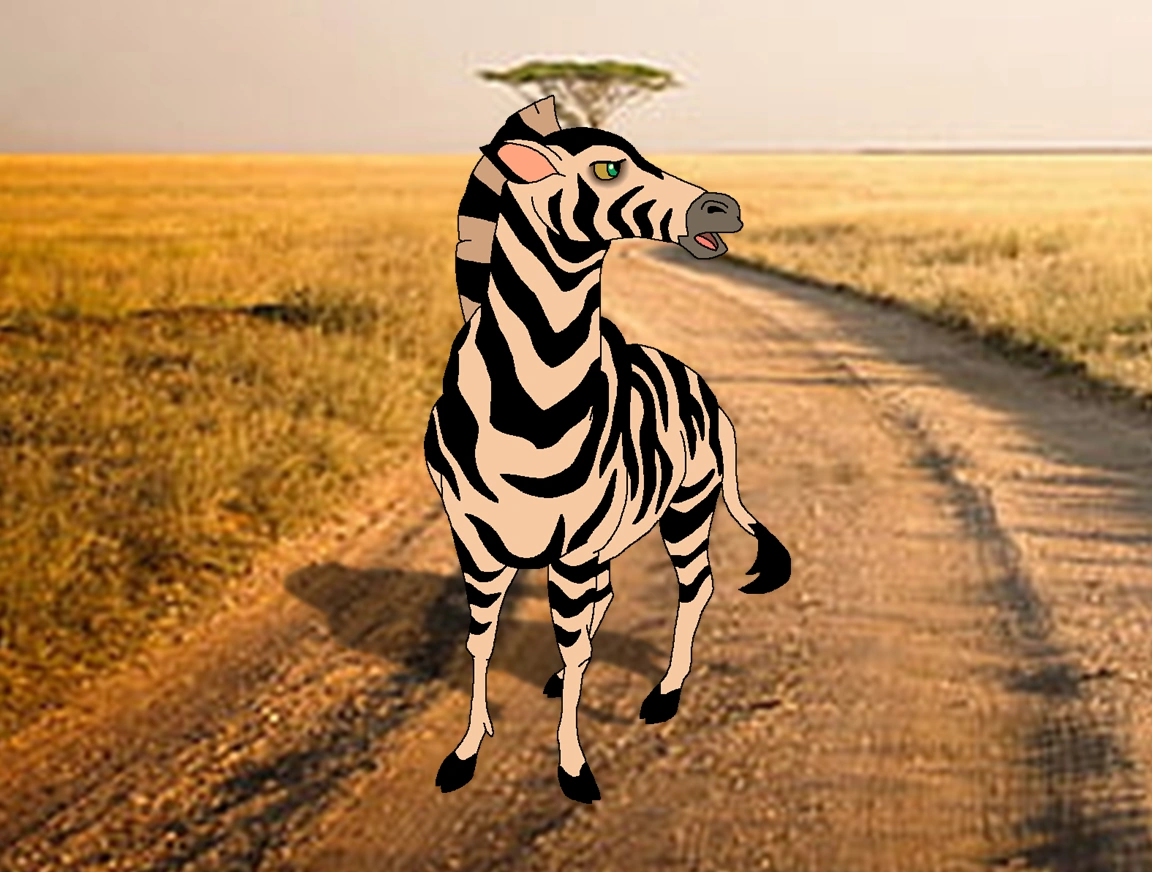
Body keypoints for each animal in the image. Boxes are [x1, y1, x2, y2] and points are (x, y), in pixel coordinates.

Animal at [425, 95, 791, 803]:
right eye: (608, 168)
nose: (723, 207)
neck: (532, 406)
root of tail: (701, 383)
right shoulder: (478, 543)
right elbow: (480, 642)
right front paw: (465, 752)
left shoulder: (570, 547)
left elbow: (575, 648)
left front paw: (572, 767)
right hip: (612, 533)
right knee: (610, 595)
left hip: (686, 507)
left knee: (695, 587)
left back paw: (665, 694)